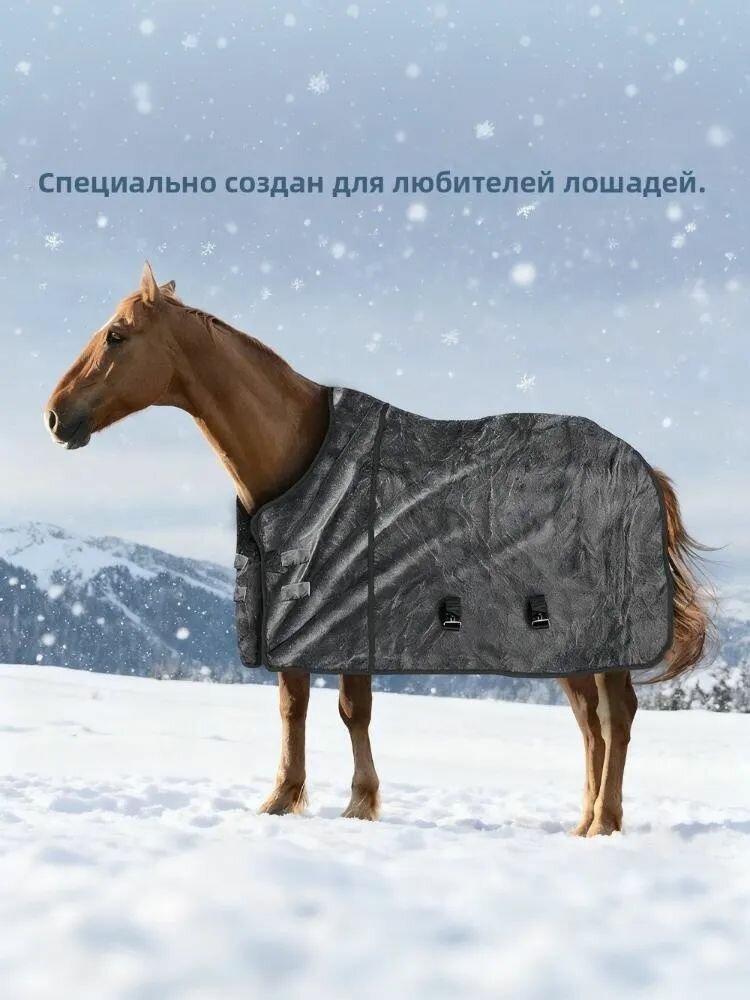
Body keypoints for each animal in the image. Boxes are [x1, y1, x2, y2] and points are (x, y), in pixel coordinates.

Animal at [45, 264, 710, 835]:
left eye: (117, 335)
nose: (55, 416)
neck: (302, 455)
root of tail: (645, 469)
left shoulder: (350, 616)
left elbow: (351, 711)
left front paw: (359, 805)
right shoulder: (298, 614)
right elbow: (293, 707)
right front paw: (282, 799)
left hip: (602, 637)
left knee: (616, 718)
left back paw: (604, 823)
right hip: (570, 645)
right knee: (591, 726)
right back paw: (583, 821)